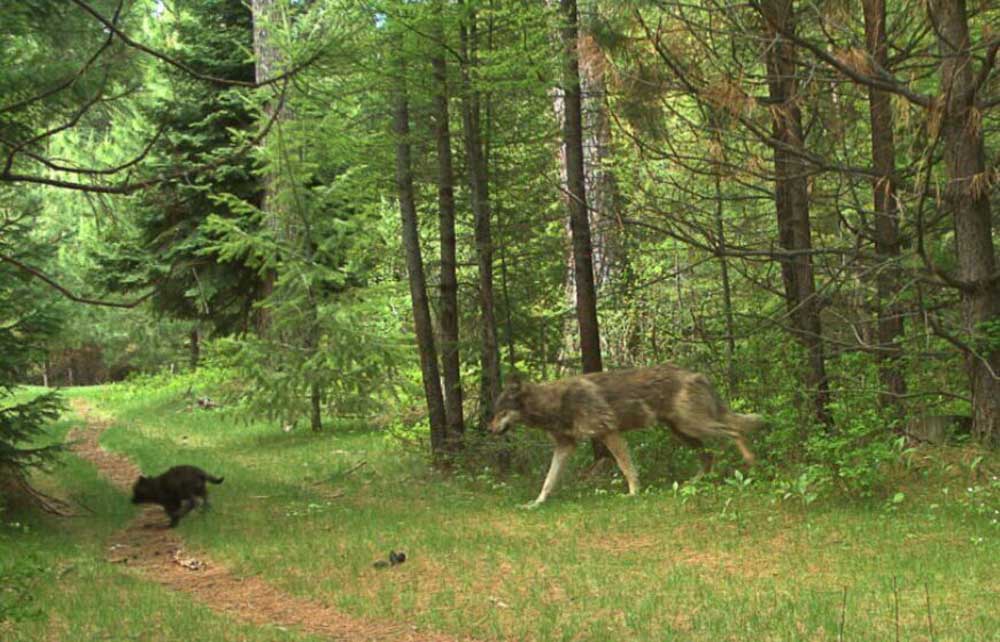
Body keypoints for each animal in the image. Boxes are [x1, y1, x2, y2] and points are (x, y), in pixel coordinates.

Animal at [488, 364, 763, 508]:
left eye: (501, 412)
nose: (489, 430)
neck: (555, 403)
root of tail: (699, 375)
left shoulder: (609, 432)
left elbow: (626, 468)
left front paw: (633, 494)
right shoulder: (565, 447)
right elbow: (548, 481)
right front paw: (535, 504)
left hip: (694, 426)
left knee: (735, 431)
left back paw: (751, 462)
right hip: (683, 432)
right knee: (708, 457)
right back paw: (690, 484)